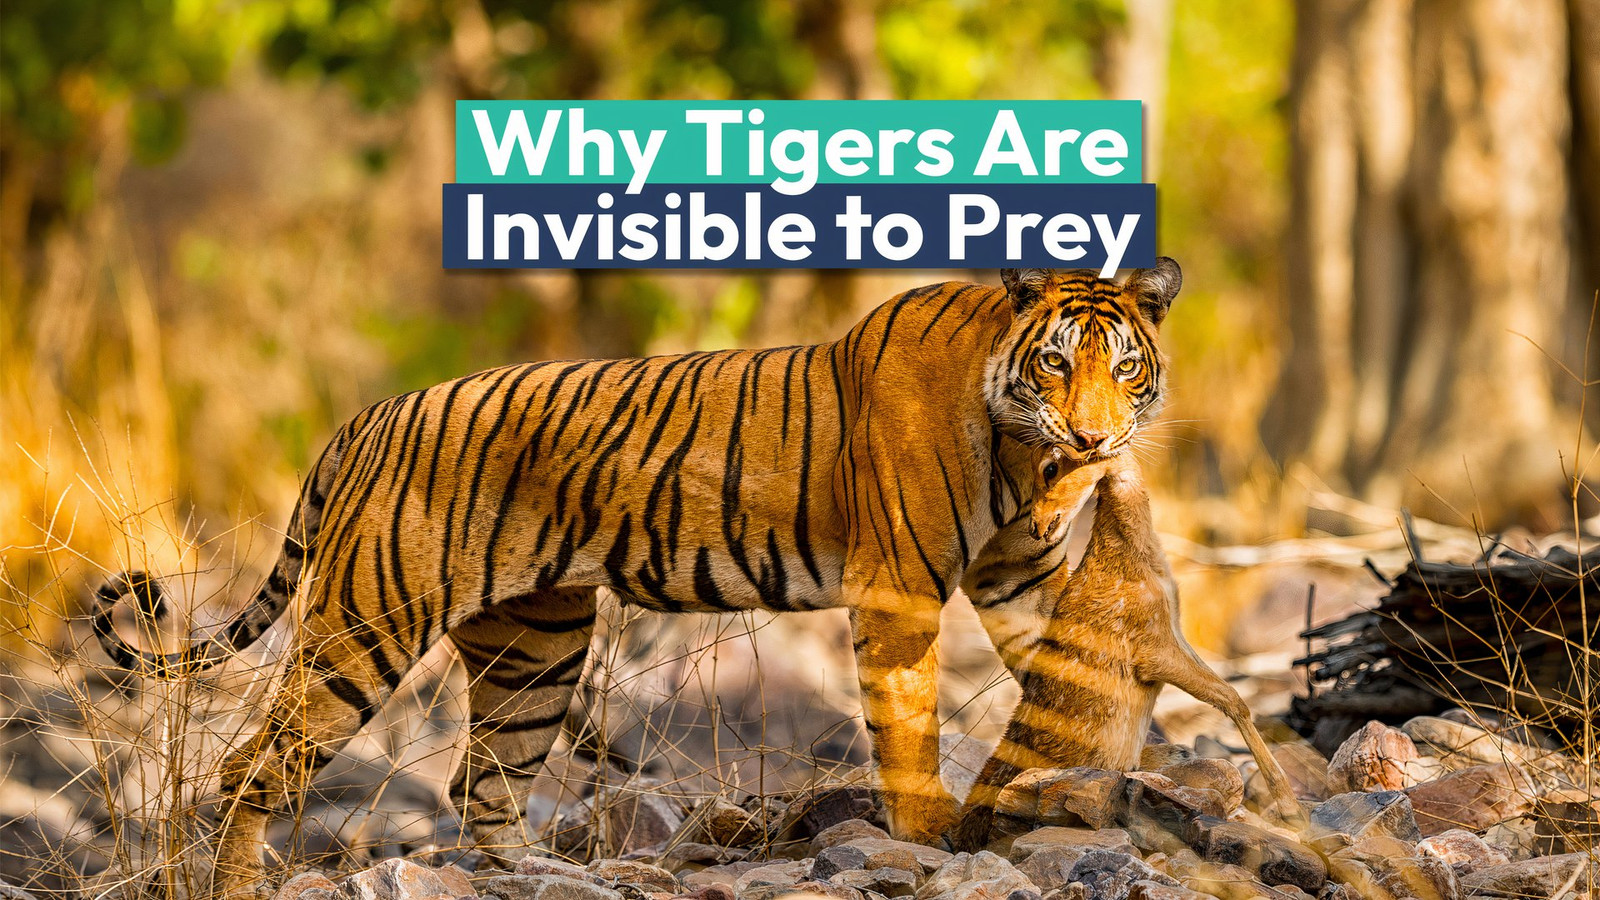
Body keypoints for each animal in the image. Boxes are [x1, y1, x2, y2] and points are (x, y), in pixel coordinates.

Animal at [91, 261, 1184, 894]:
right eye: (1055, 364)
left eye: (1124, 368)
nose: (1095, 439)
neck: (1026, 460)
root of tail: (366, 417)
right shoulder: (900, 587)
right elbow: (908, 722)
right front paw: (929, 839)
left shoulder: (1021, 576)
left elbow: (1073, 675)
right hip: (366, 625)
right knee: (254, 765)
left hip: (537, 644)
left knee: (481, 781)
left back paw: (537, 874)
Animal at [949, 448, 1307, 851]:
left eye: (1050, 467)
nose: (1037, 527)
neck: (1145, 562)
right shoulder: (1150, 648)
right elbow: (1233, 698)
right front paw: (1291, 808)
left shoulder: (1174, 630)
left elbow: (1231, 696)